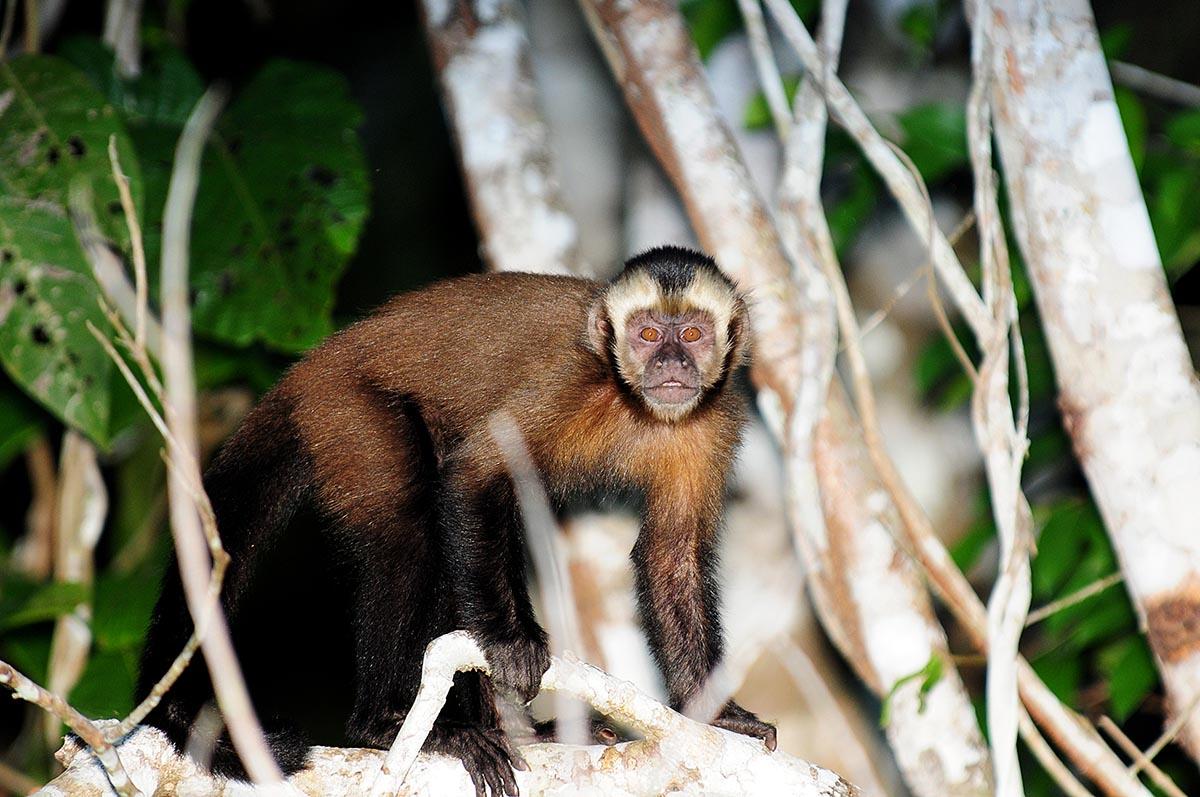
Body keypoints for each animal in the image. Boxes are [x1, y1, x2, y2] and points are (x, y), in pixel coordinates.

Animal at [136, 245, 777, 797]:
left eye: (690, 334)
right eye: (647, 335)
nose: (670, 363)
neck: (633, 402)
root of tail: (313, 364)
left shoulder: (713, 421)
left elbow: (671, 558)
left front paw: (717, 713)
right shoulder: (570, 381)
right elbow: (472, 479)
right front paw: (513, 646)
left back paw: (514, 731)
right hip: (348, 415)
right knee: (411, 530)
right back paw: (384, 724)